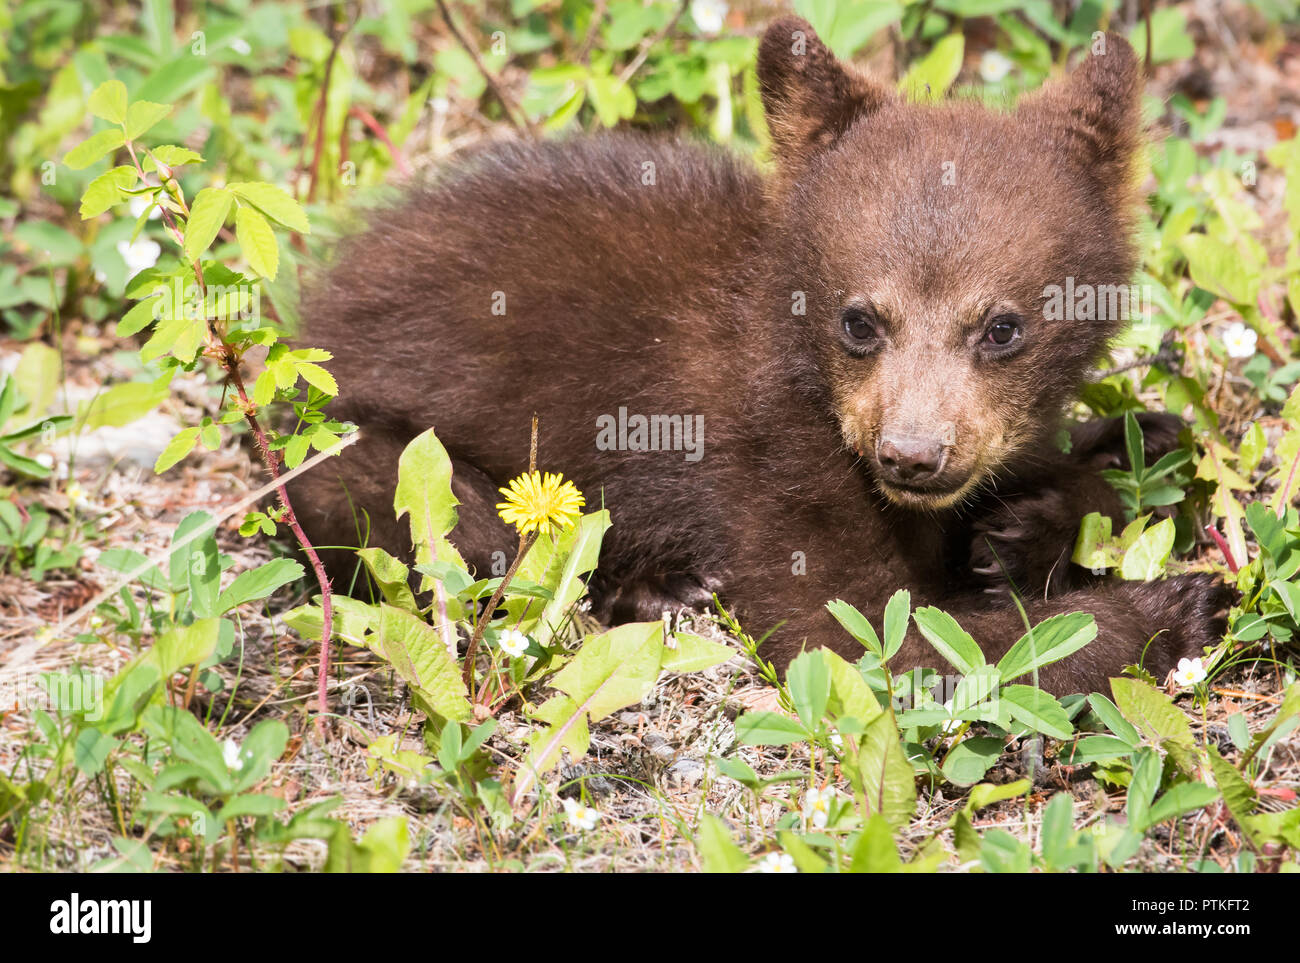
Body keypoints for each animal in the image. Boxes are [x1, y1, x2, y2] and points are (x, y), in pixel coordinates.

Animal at [290, 17, 1229, 697]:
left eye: (1002, 327)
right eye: (860, 320)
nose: (912, 456)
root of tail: (312, 319)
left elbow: (1135, 448)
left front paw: (1034, 519)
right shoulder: (776, 463)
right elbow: (861, 636)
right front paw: (1173, 605)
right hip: (368, 463)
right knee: (479, 542)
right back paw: (659, 586)